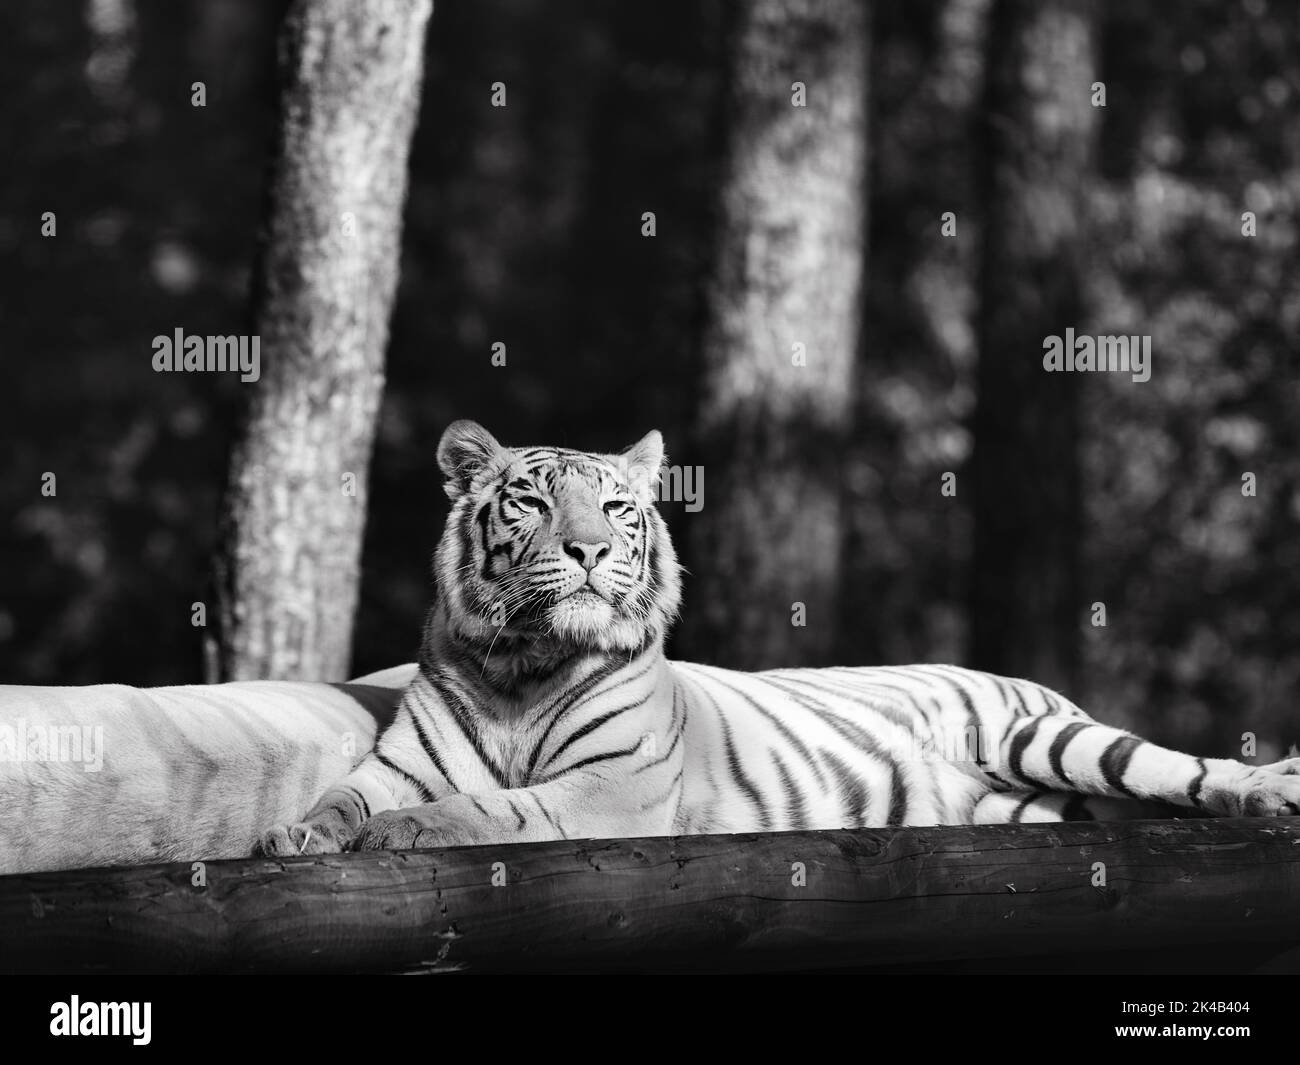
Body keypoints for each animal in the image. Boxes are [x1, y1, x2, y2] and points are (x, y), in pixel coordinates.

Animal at [259, 419, 1300, 857]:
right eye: (533, 501)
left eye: (617, 505)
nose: (590, 549)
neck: (521, 662)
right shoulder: (401, 762)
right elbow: (345, 796)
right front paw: (294, 833)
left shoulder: (612, 786)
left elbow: (494, 809)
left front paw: (405, 833)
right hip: (1026, 807)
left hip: (1047, 733)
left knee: (1186, 770)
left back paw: (1270, 791)